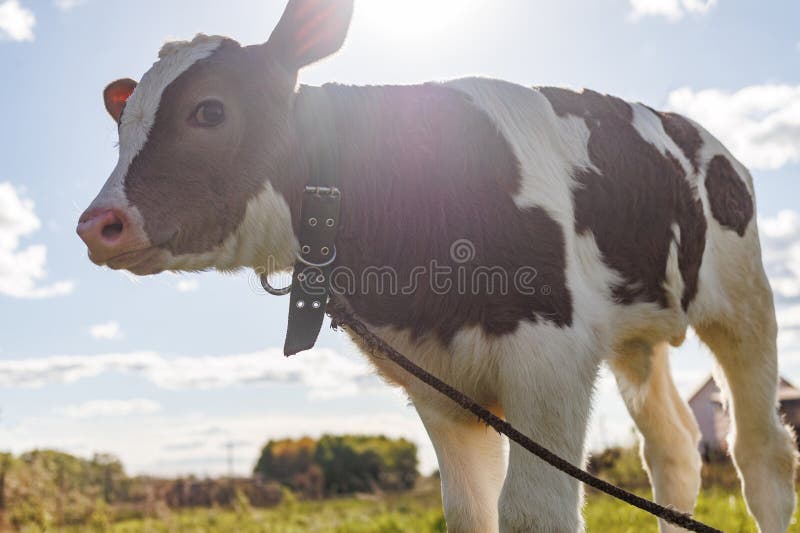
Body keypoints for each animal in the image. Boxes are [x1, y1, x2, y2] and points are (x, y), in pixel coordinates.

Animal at [76, 1, 797, 531]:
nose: (96, 224)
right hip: (635, 338)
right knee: (674, 451)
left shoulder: (551, 355)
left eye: (210, 110)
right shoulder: (440, 384)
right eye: (122, 125)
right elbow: (470, 514)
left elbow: (532, 513)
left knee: (760, 456)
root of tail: (699, 132)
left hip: (746, 308)